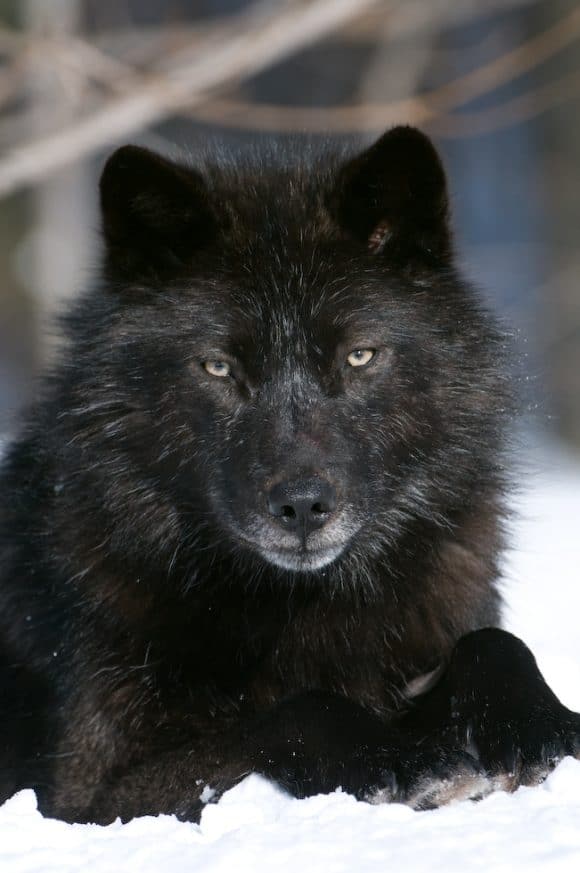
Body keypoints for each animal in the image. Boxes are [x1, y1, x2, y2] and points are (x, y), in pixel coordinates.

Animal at [0, 126, 578, 823]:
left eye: (359, 356)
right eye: (218, 367)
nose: (302, 506)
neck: (305, 603)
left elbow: (494, 643)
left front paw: (546, 727)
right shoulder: (87, 796)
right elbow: (289, 710)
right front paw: (407, 759)